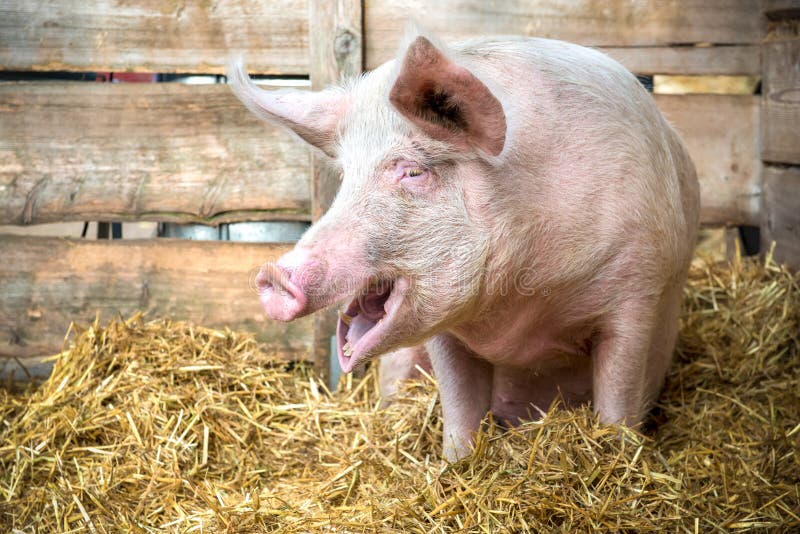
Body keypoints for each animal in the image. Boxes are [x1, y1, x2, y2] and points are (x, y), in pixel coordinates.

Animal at [230, 29, 700, 461]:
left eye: (413, 171)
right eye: (347, 176)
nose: (274, 275)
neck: (520, 314)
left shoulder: (638, 287)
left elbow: (618, 396)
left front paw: (617, 456)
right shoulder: (443, 328)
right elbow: (459, 407)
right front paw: (454, 464)